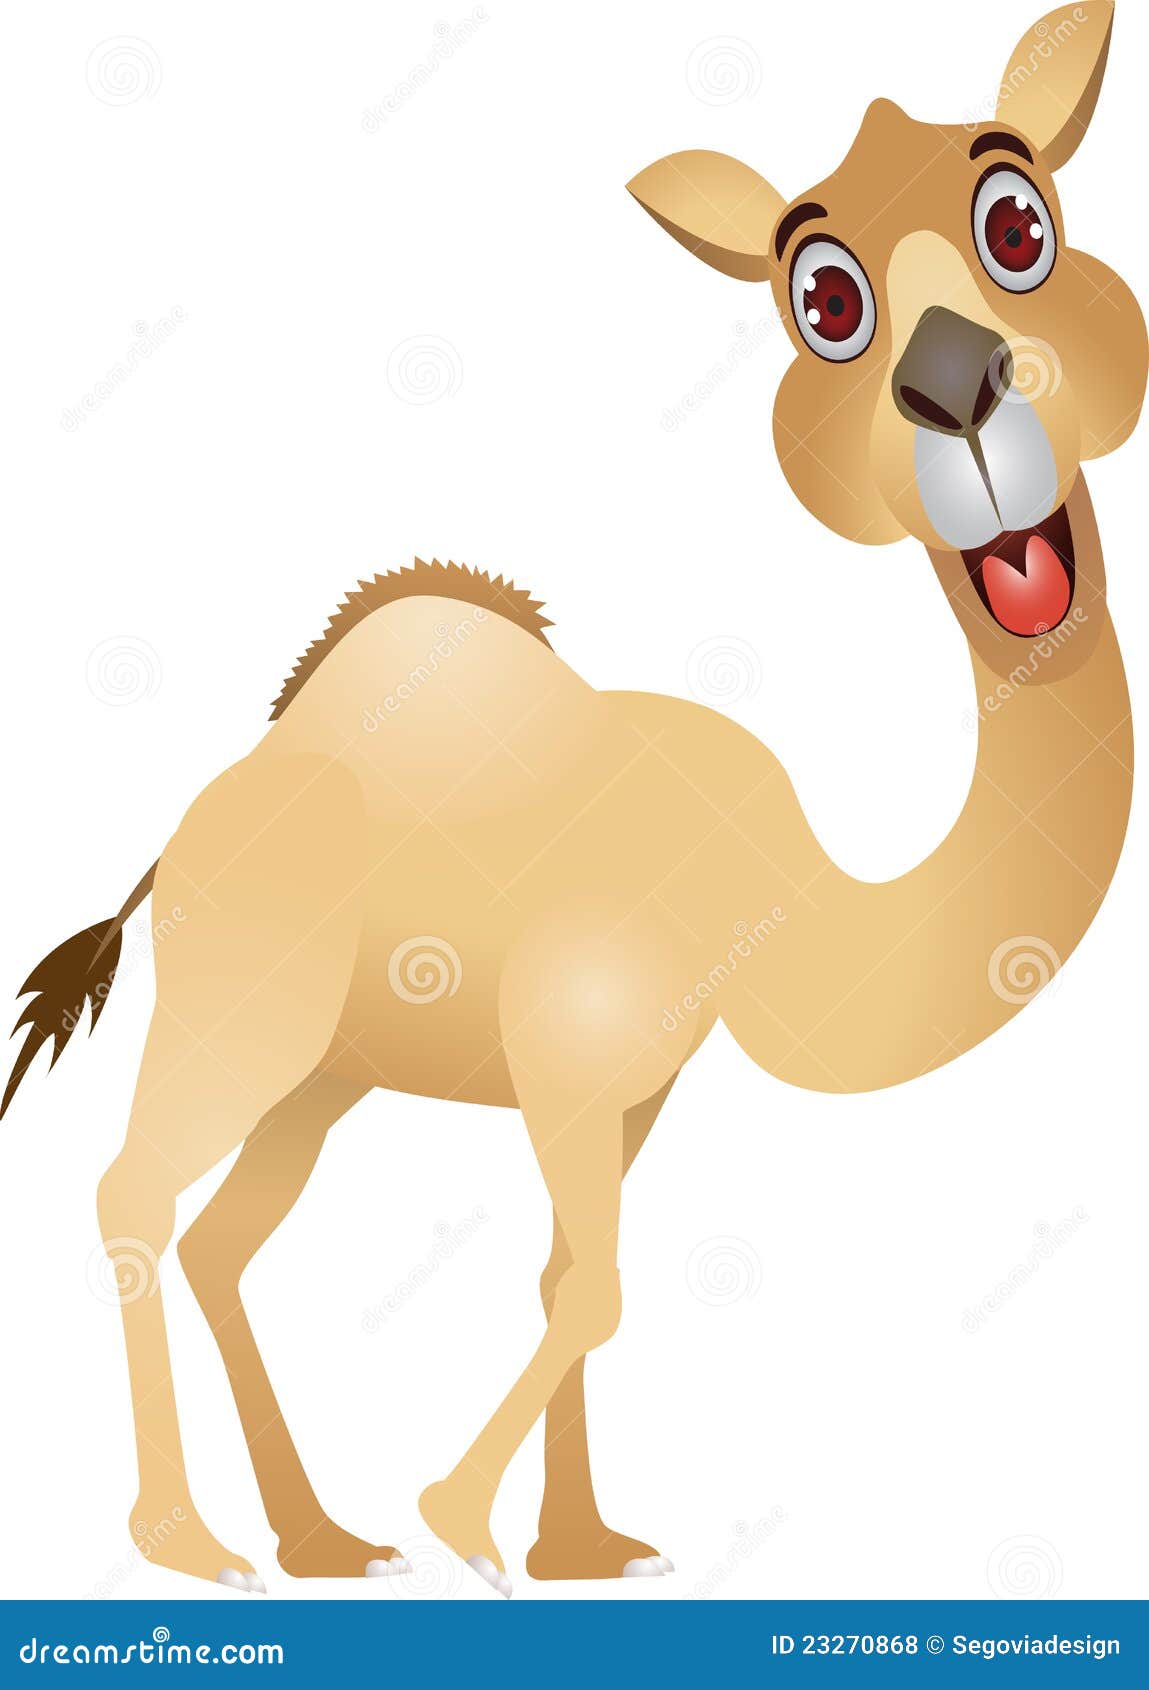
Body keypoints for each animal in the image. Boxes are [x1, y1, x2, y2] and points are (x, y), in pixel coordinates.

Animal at [3, 1, 1142, 1598]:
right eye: (825, 298)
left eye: (1021, 220)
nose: (959, 381)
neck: (785, 896)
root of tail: (175, 842)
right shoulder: (572, 1036)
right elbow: (593, 1285)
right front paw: (463, 1521)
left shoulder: (639, 1075)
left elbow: (567, 1272)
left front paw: (579, 1547)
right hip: (249, 990)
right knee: (135, 1192)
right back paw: (192, 1541)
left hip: (331, 1063)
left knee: (229, 1233)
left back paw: (320, 1537)